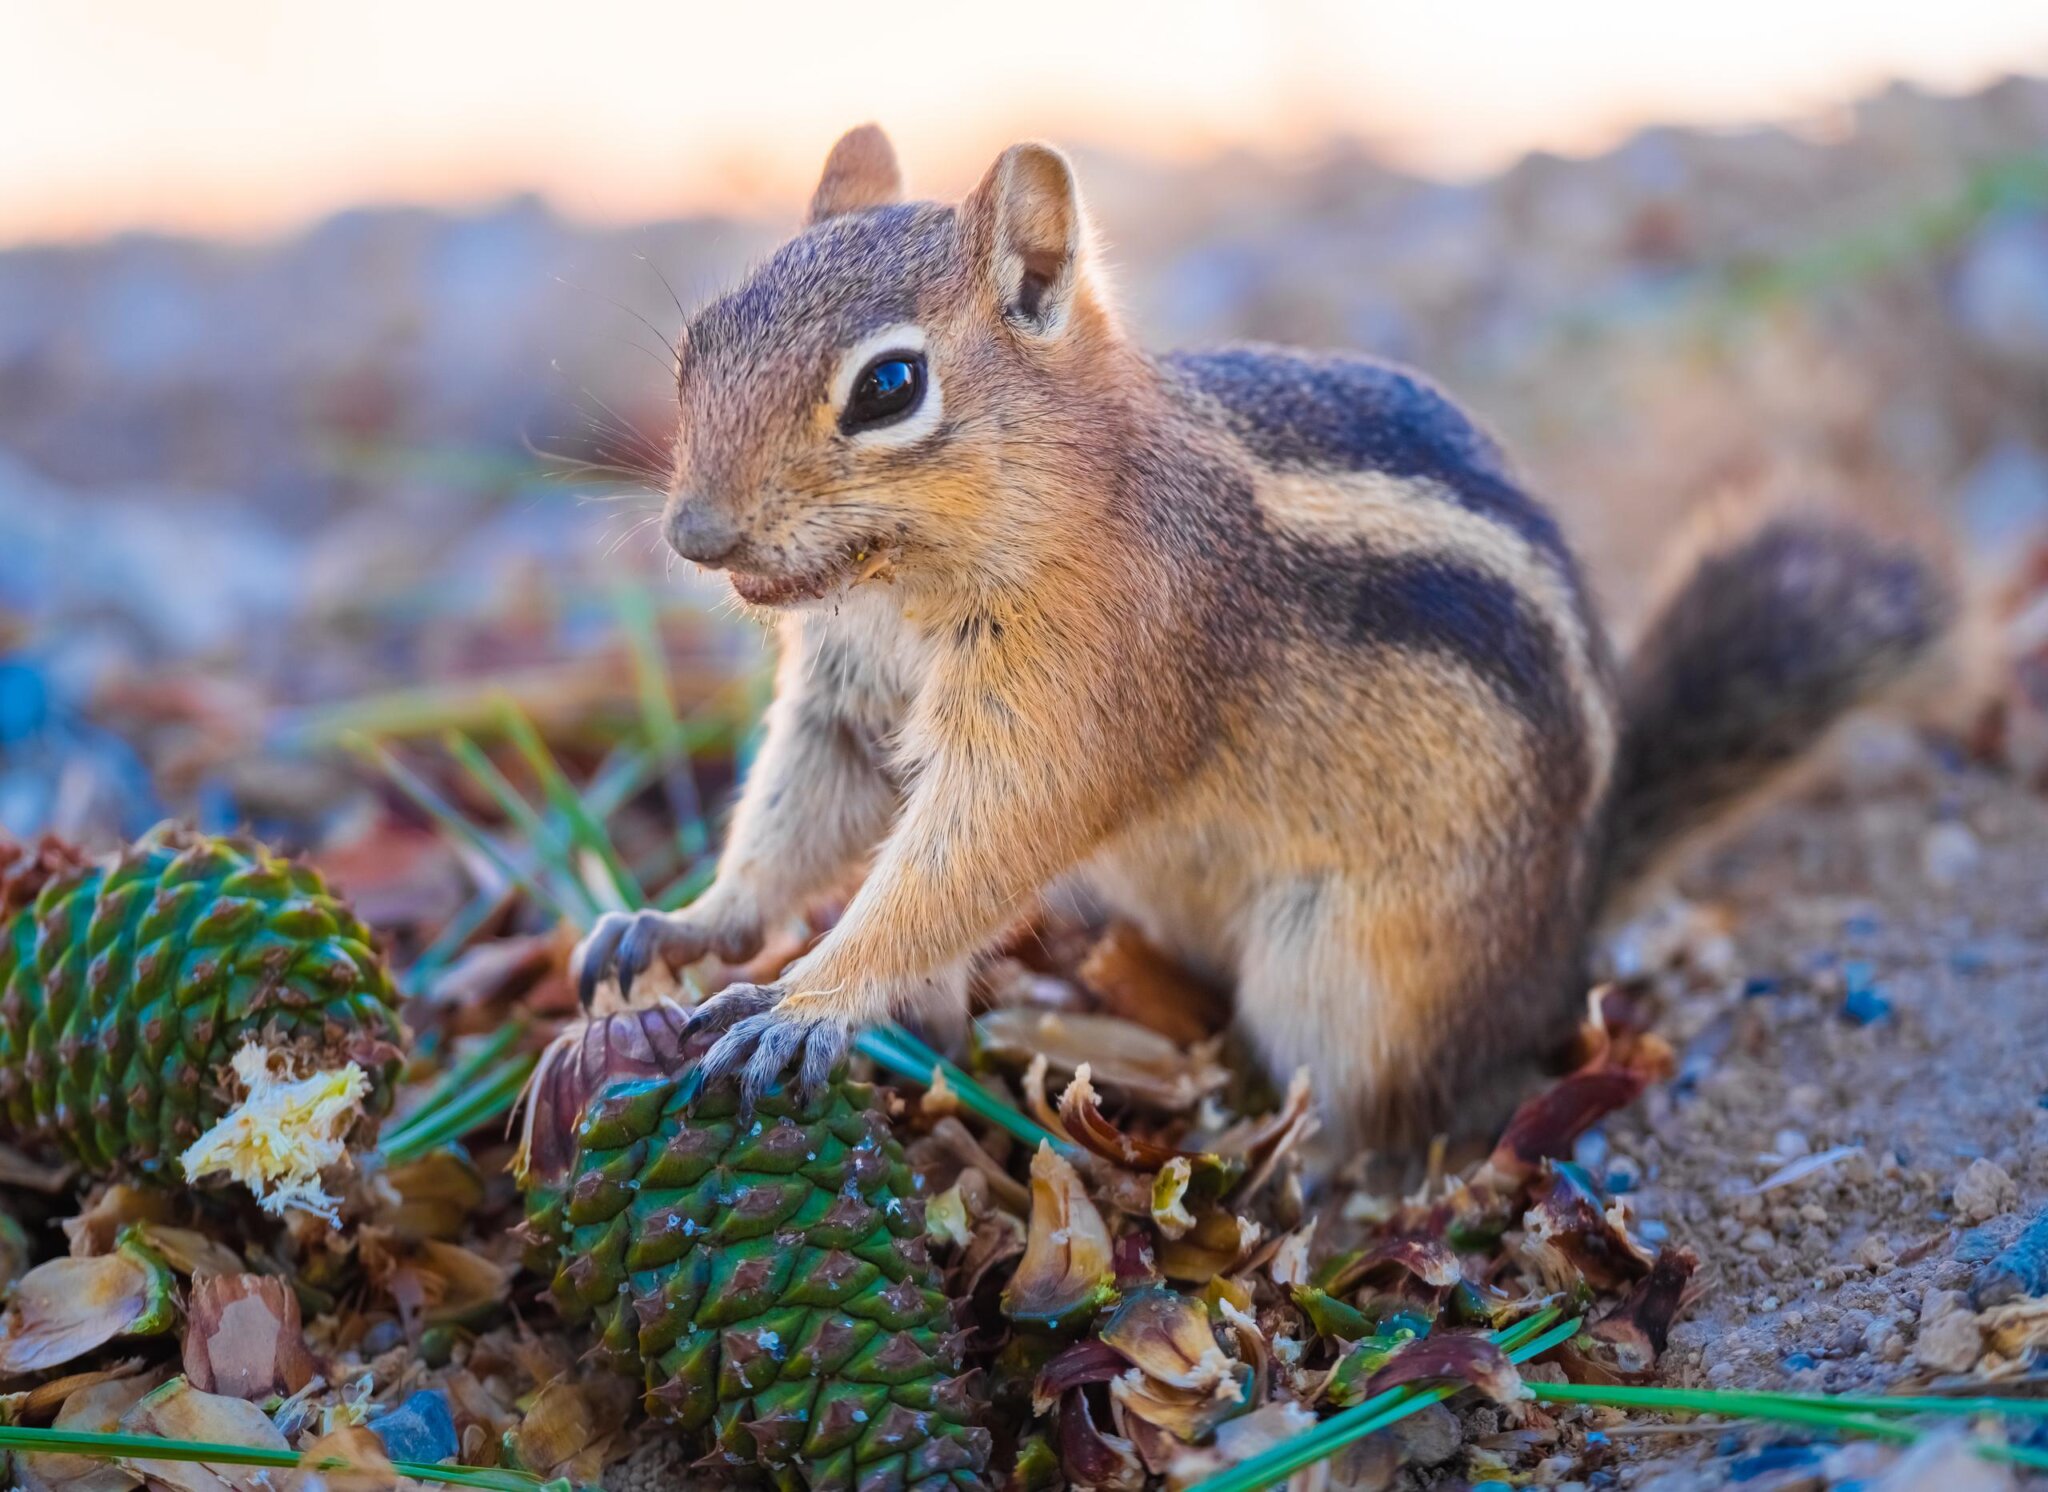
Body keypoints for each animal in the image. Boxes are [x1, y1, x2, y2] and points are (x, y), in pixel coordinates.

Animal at [574, 124, 1953, 1149]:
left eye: (889, 388)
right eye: (698, 340)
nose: (694, 534)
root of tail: (1561, 943)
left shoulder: (1085, 692)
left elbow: (971, 856)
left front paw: (808, 1001)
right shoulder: (846, 692)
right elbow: (798, 811)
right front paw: (686, 921)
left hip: (1351, 973)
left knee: (1388, 1112)